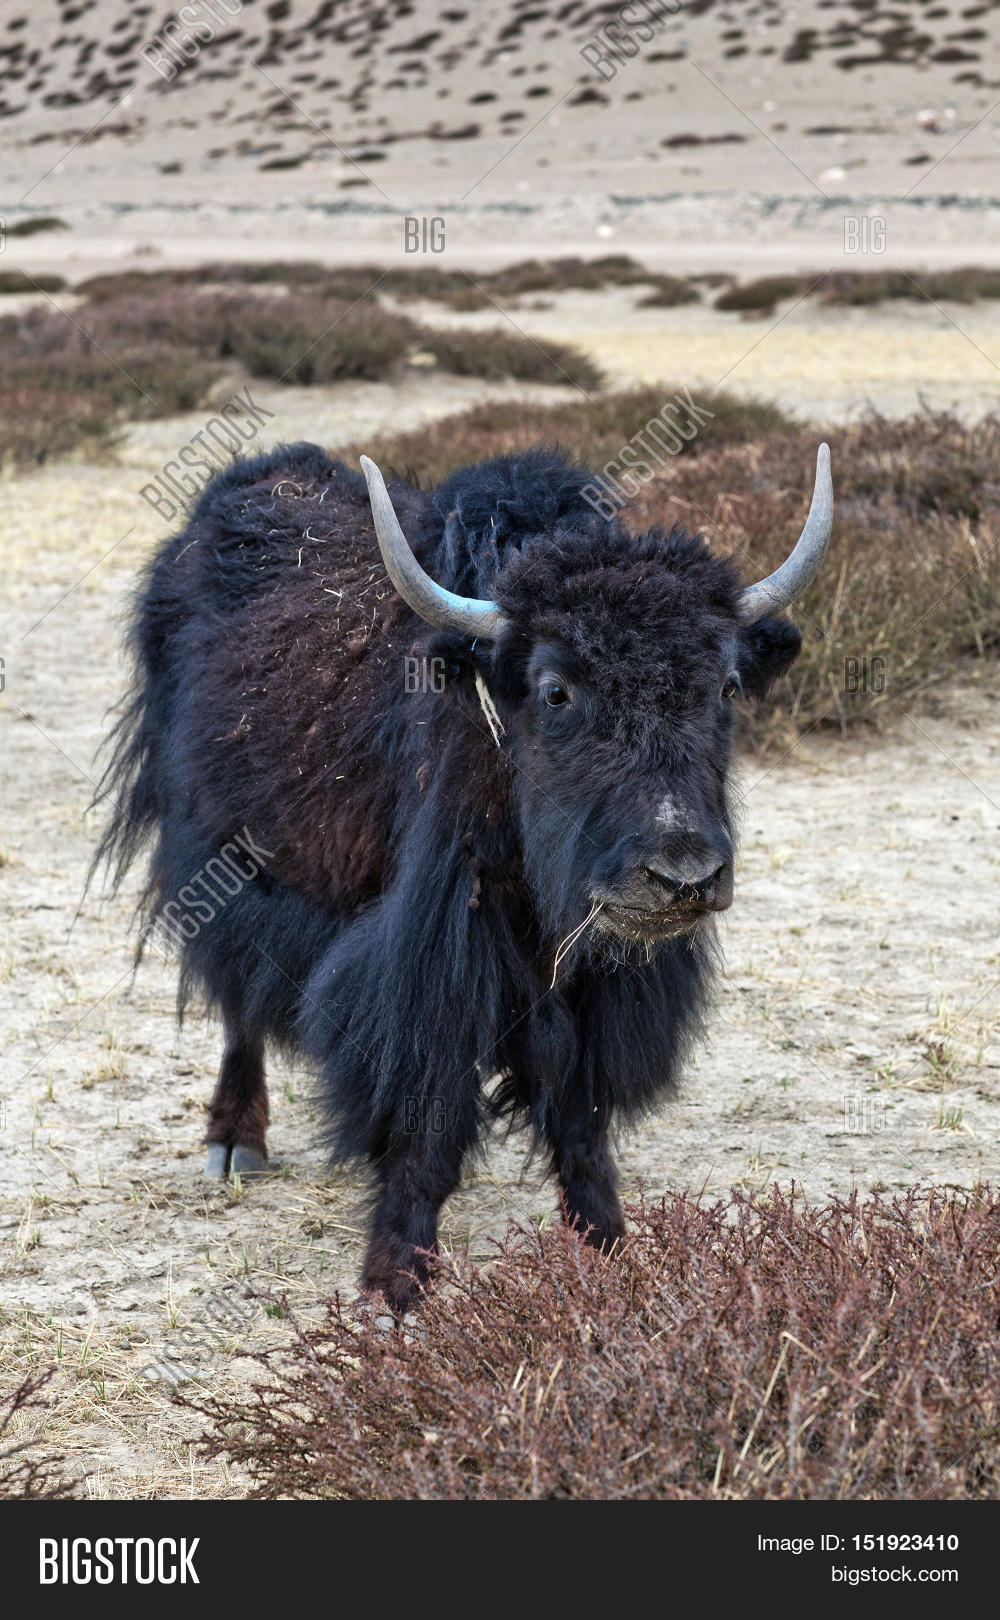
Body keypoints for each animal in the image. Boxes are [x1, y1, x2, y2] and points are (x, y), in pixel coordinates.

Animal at [95, 437, 832, 1310]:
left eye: (725, 686)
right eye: (556, 690)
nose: (681, 875)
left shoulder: (587, 981)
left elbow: (580, 1123)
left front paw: (612, 1260)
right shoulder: (432, 959)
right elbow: (425, 1122)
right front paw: (393, 1287)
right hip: (218, 855)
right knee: (239, 994)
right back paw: (235, 1144)